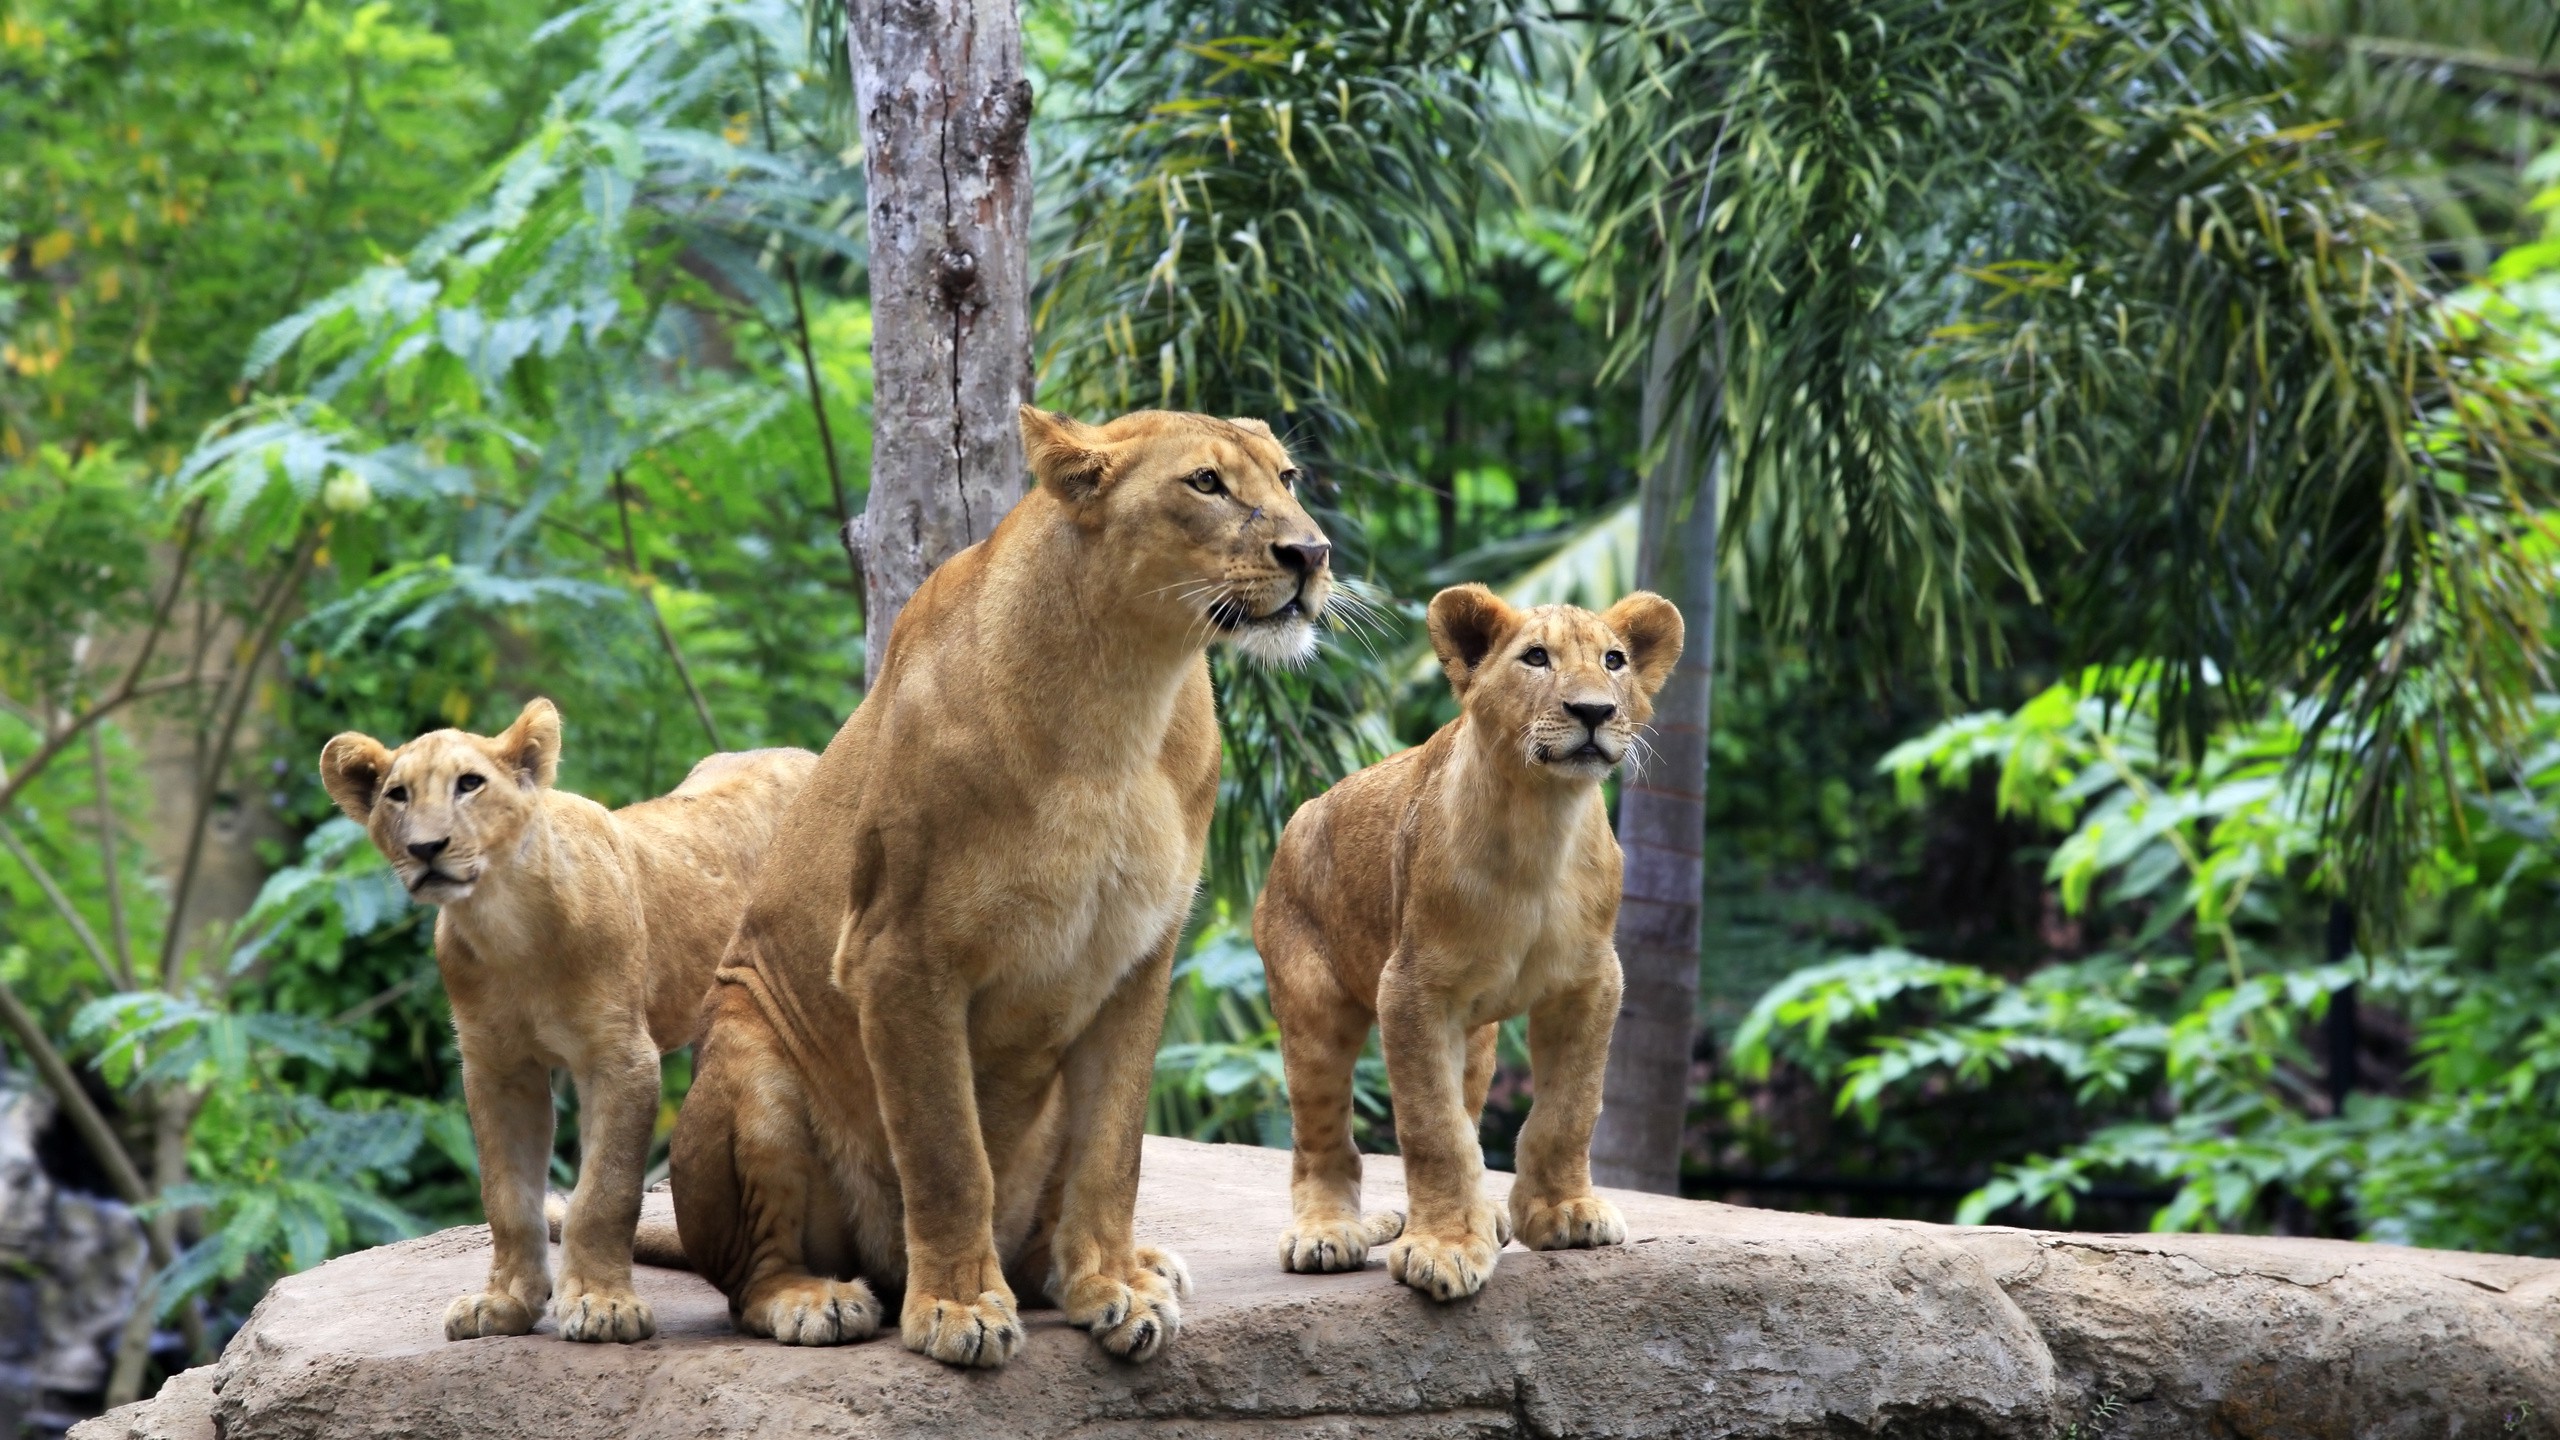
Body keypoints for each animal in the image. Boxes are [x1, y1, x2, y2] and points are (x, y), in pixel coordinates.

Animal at [317, 701, 814, 1343]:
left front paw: (604, 1304)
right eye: (397, 794)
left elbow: (605, 1189)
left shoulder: (621, 1057)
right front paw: (503, 1303)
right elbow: (506, 1197)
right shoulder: (498, 1068)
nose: (427, 847)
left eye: (469, 784)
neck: (505, 926)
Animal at [667, 406, 1333, 1368]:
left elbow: (1114, 1151)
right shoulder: (898, 958)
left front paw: (1113, 1289)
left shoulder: (1139, 961)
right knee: (749, 1272)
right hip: (749, 1057)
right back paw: (815, 1298)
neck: (1124, 692)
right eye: (1205, 484)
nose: (1312, 554)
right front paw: (957, 1308)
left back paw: (1116, 1268)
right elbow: (948, 1154)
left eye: (1287, 478)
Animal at [1253, 583, 1683, 1301]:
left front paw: (1563, 1213)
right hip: (1312, 1006)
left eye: (1614, 660)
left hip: (1479, 1037)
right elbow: (1435, 1129)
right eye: (1535, 658)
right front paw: (1446, 1248)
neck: (1542, 823)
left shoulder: (1591, 982)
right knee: (1321, 1135)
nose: (1594, 710)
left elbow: (1569, 1108)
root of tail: (1300, 817)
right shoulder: (1411, 990)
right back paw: (1325, 1233)